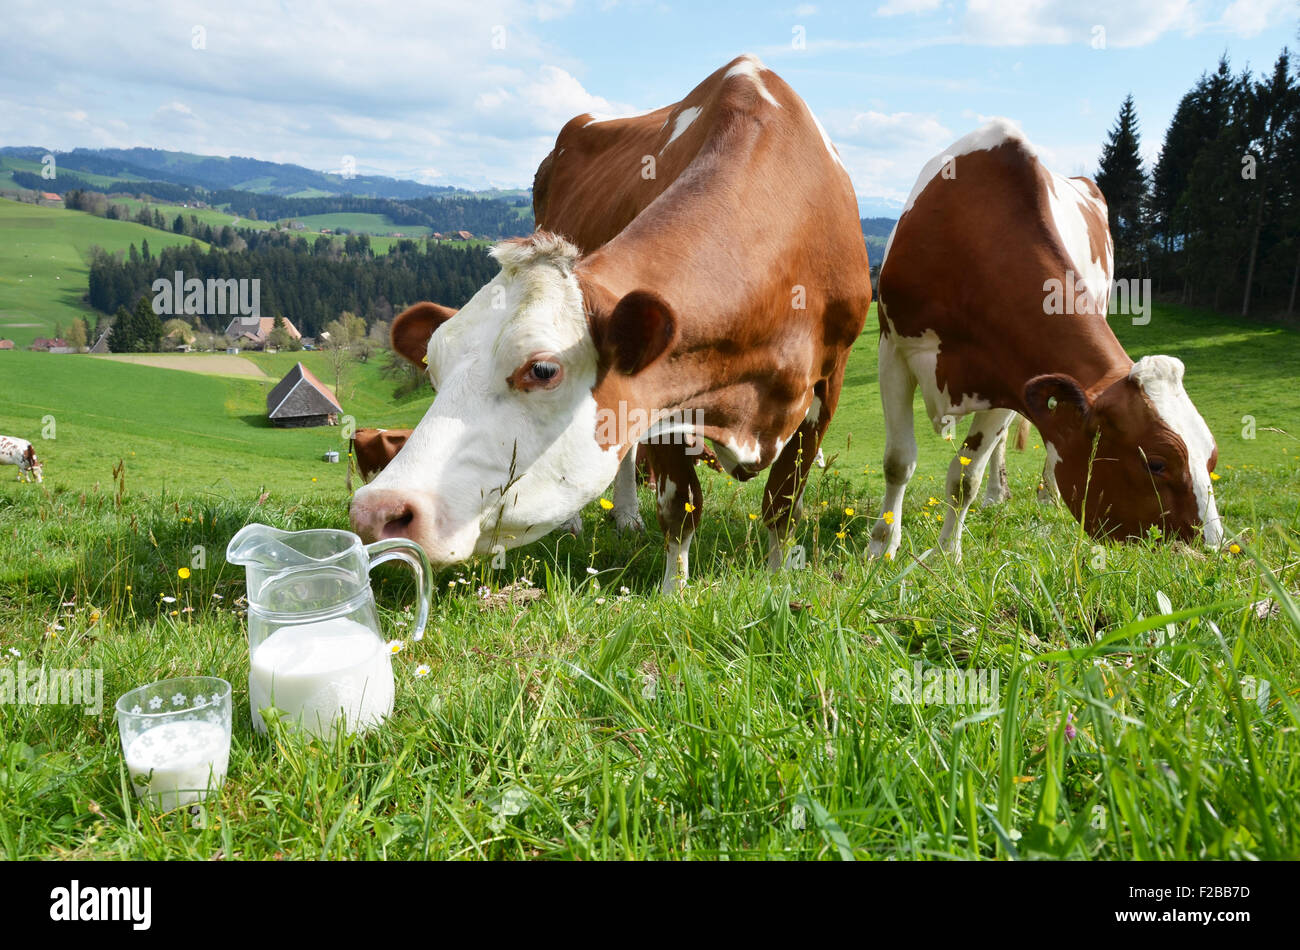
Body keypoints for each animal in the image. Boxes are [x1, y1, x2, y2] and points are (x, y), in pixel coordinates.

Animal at [350, 54, 872, 592]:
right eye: (433, 371)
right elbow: (680, 507)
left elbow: (782, 505)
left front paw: (774, 581)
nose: (376, 511)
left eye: (543, 370)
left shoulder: (828, 380)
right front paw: (674, 592)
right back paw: (591, 520)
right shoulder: (666, 393)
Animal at [867, 119, 1222, 562]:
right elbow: (898, 462)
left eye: (1211, 457)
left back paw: (1043, 495)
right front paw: (882, 547)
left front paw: (949, 554)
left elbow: (965, 478)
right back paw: (997, 495)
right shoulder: (893, 349)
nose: (1212, 550)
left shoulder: (1011, 380)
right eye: (1156, 463)